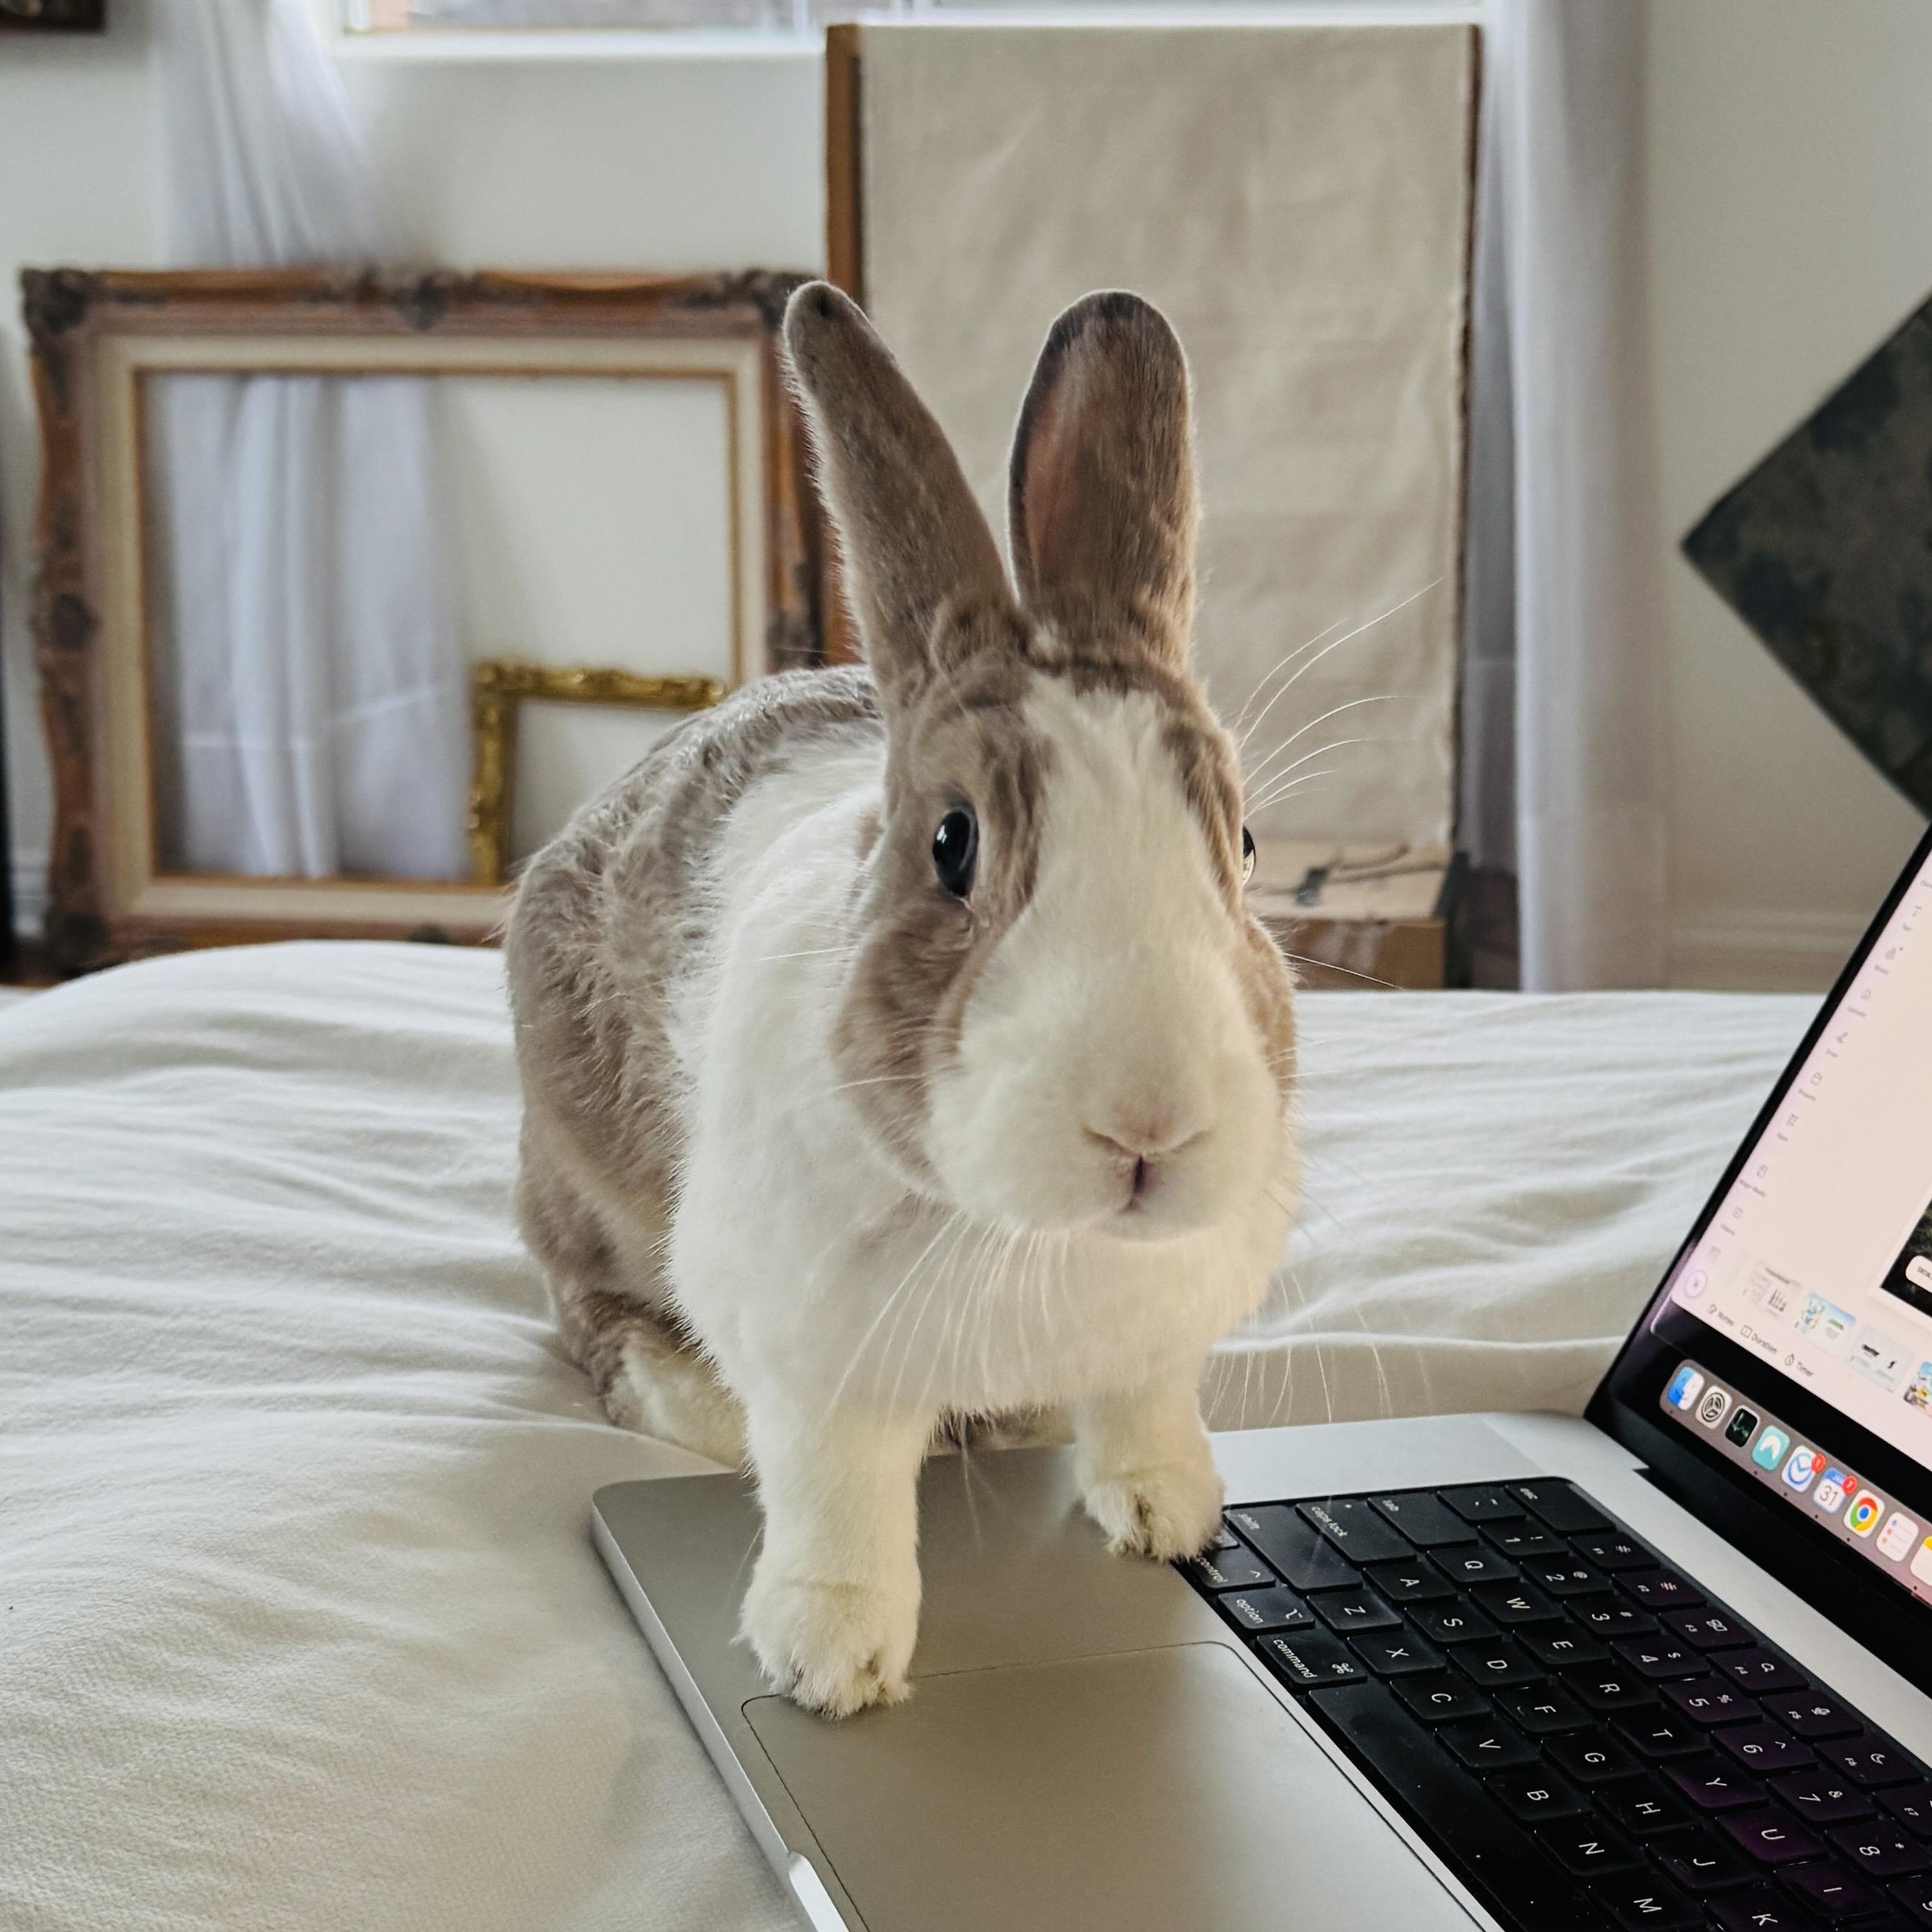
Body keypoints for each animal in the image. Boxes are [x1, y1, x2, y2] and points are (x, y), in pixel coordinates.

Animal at [506, 282, 1300, 1717]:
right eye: (953, 843)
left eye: (1247, 846)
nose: (1149, 1125)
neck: (1035, 1234)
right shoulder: (817, 1362)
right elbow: (842, 1497)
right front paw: (830, 1661)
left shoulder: (1158, 1336)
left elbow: (1146, 1411)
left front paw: (1171, 1514)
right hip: (582, 1185)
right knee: (592, 1320)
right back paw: (693, 1406)